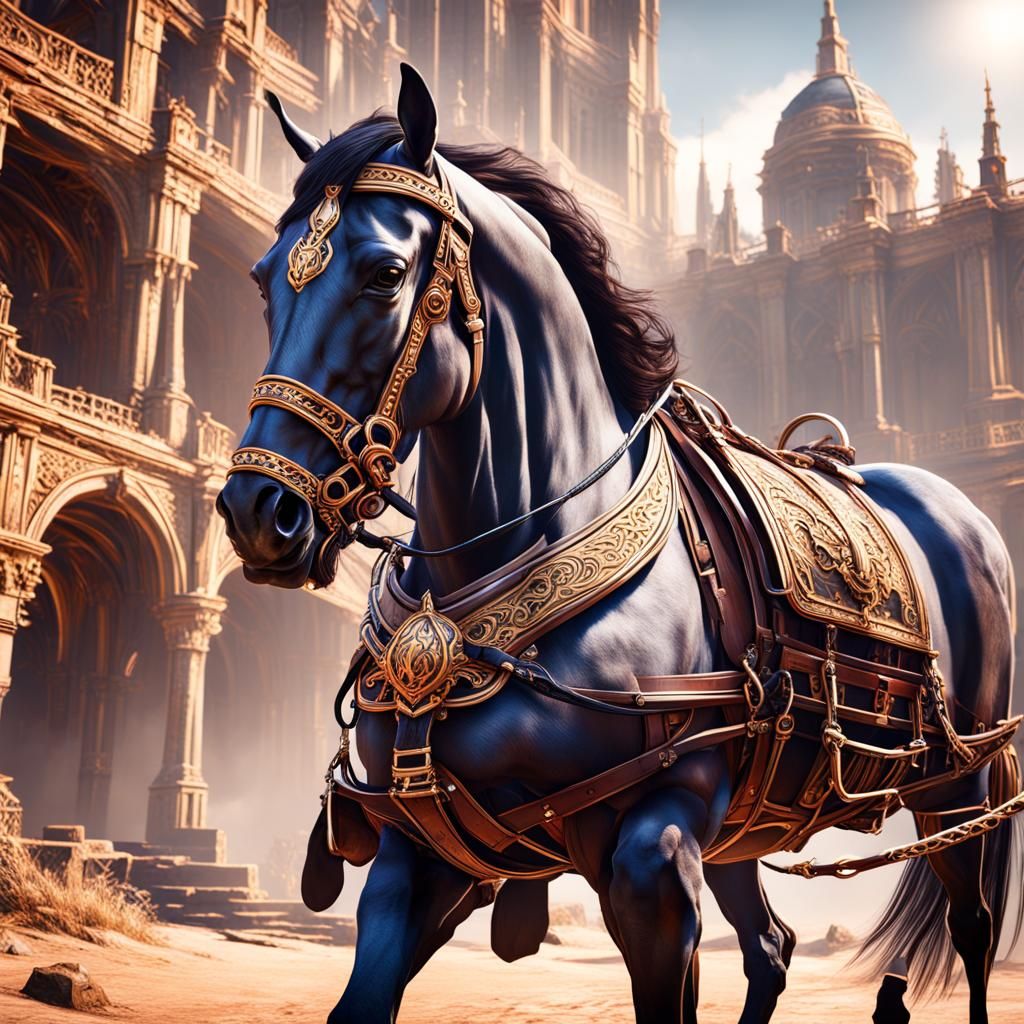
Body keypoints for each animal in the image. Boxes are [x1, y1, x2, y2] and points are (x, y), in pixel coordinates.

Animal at [217, 65, 1021, 1024]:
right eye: (264, 279)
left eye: (385, 273)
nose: (257, 510)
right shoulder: (427, 848)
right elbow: (364, 993)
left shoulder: (654, 854)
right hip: (751, 827)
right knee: (774, 947)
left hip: (957, 791)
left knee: (972, 931)